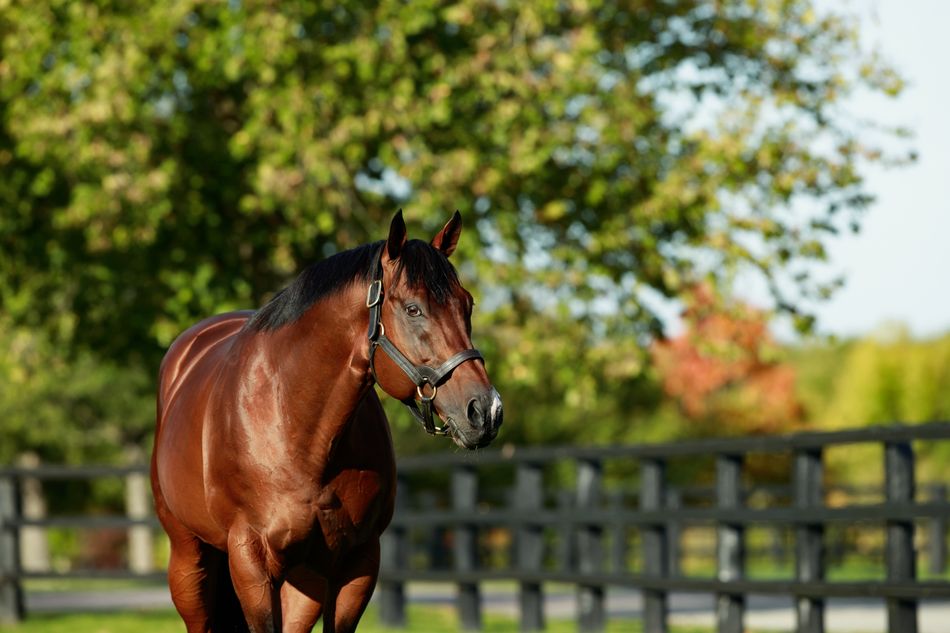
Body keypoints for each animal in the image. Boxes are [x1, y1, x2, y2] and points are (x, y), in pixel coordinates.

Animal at [151, 211, 503, 632]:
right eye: (413, 309)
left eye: (467, 304)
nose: (486, 411)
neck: (298, 431)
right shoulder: (250, 564)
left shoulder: (357, 564)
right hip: (189, 560)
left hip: (306, 580)